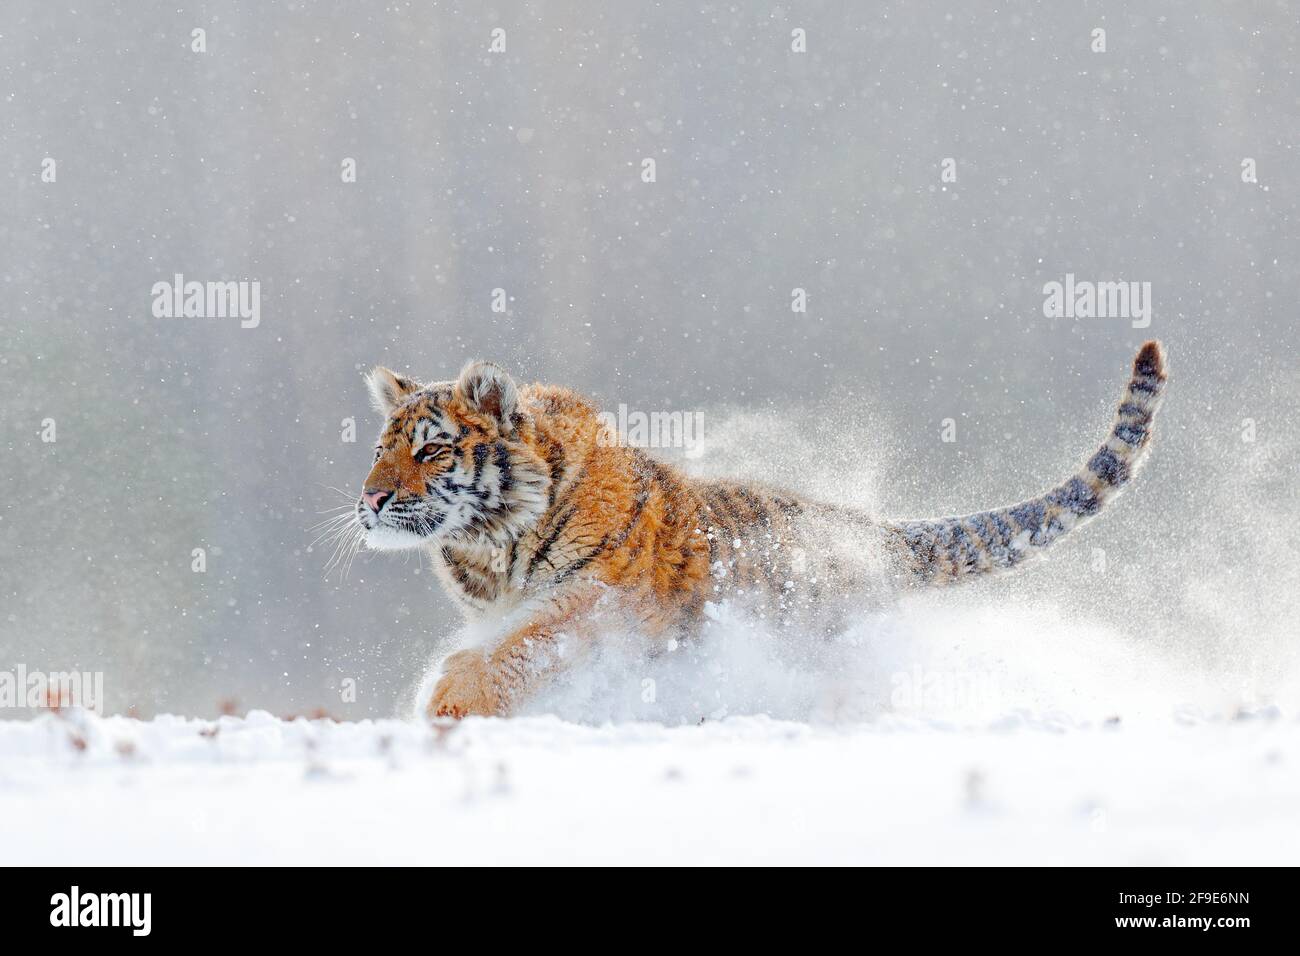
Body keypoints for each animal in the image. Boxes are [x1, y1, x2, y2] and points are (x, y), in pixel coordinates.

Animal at [354, 341, 1167, 718]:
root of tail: (872, 533)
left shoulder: (599, 600)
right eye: (380, 447)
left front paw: (448, 703)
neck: (492, 547)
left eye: (430, 449)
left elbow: (520, 649)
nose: (370, 500)